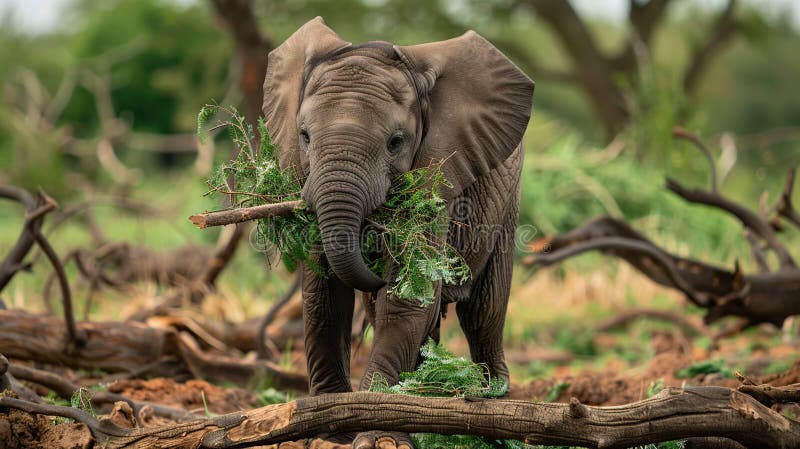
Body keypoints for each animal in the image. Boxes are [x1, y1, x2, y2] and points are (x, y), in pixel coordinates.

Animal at [262, 17, 534, 448]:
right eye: (303, 137)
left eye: (396, 143)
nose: (373, 246)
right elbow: (324, 298)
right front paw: (326, 430)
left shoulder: (437, 175)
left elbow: (407, 299)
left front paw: (373, 433)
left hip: (508, 198)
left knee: (483, 312)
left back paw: (491, 414)